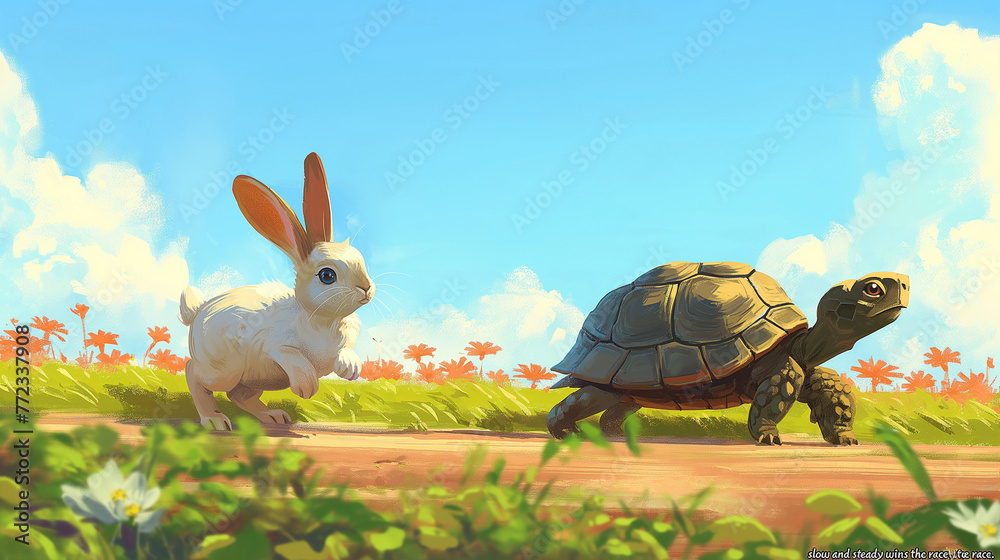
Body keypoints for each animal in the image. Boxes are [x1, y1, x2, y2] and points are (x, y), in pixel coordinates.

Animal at [178, 152, 374, 430]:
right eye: (327, 276)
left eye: (360, 259)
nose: (367, 288)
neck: (321, 320)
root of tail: (196, 312)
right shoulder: (274, 345)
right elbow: (292, 356)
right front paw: (306, 388)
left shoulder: (344, 339)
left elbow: (345, 350)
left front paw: (349, 368)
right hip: (222, 371)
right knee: (193, 372)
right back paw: (214, 420)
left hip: (252, 380)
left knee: (239, 395)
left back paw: (273, 416)